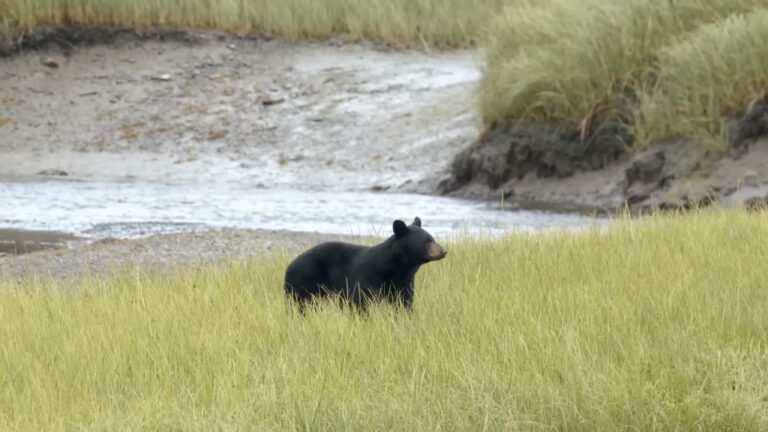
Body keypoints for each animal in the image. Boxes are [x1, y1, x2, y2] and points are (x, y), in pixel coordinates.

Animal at [284, 217, 447, 312]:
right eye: (427, 241)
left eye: (432, 238)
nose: (444, 251)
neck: (397, 268)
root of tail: (288, 268)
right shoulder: (367, 278)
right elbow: (361, 302)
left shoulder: (404, 284)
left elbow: (404, 303)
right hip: (303, 284)